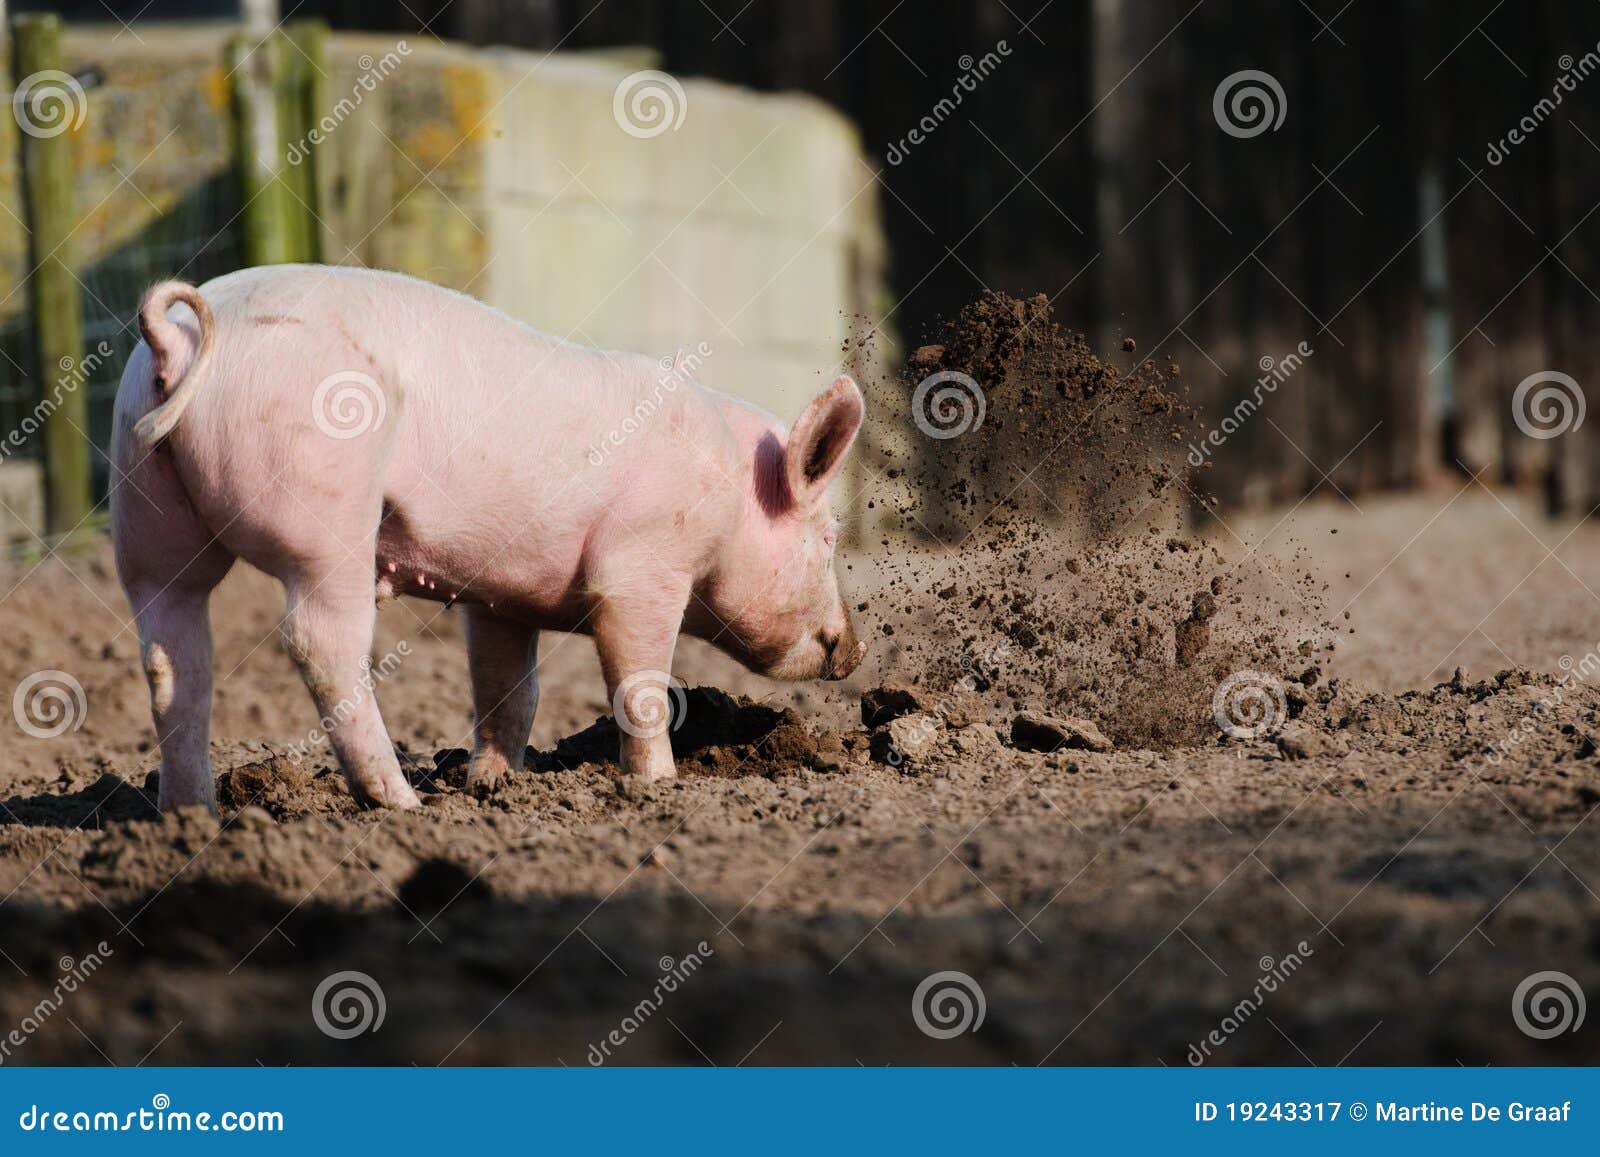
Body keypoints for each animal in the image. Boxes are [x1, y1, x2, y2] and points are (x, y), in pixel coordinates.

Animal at [112, 264, 866, 813]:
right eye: (829, 537)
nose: (854, 649)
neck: (733, 492)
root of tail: (178, 340)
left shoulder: (500, 596)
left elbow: (511, 688)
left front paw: (492, 785)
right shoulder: (642, 566)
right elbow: (641, 683)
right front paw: (658, 786)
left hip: (145, 511)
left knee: (173, 655)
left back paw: (193, 815)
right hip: (324, 521)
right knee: (319, 645)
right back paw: (401, 802)